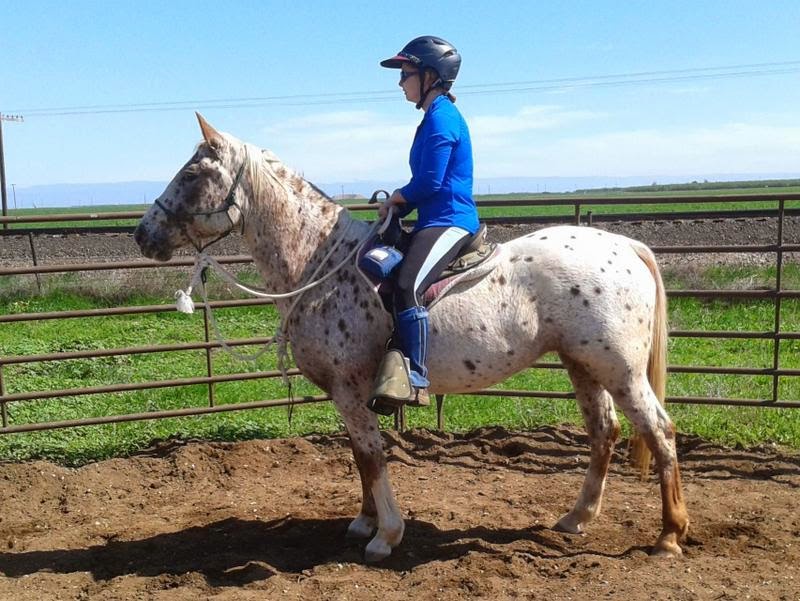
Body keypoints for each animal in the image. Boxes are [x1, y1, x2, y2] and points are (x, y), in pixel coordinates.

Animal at [133, 114, 689, 561]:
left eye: (190, 174)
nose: (142, 234)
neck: (323, 266)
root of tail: (627, 246)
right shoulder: (347, 394)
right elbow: (359, 455)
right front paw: (363, 522)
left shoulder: (350, 390)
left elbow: (373, 456)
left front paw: (386, 535)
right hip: (584, 365)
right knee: (604, 432)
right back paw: (577, 518)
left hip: (621, 371)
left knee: (660, 432)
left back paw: (668, 536)